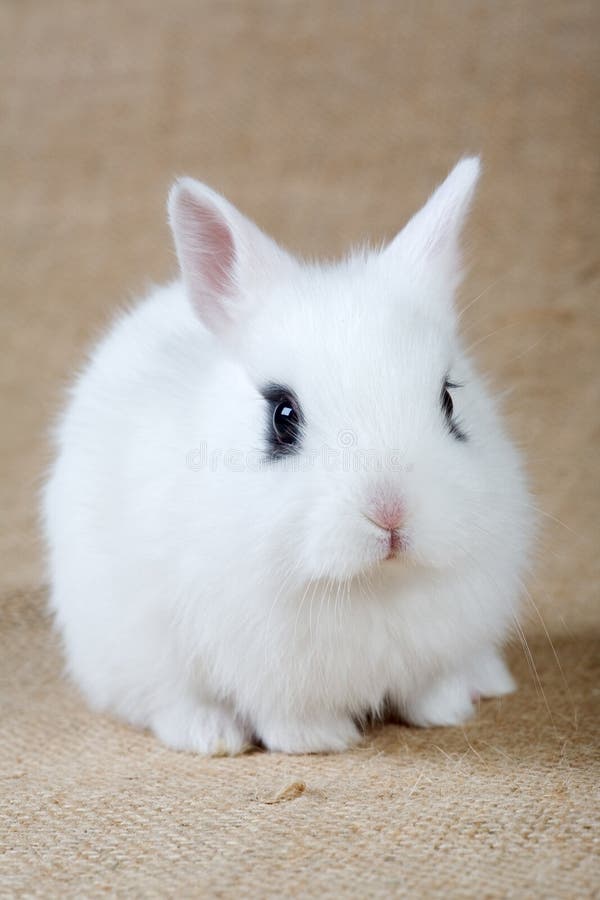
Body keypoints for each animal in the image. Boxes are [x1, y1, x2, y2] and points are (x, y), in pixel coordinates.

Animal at [42, 157, 534, 755]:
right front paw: (316, 739)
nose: (390, 513)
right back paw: (210, 734)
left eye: (448, 400)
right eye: (282, 416)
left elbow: (429, 687)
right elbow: (284, 712)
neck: (368, 586)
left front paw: (446, 712)